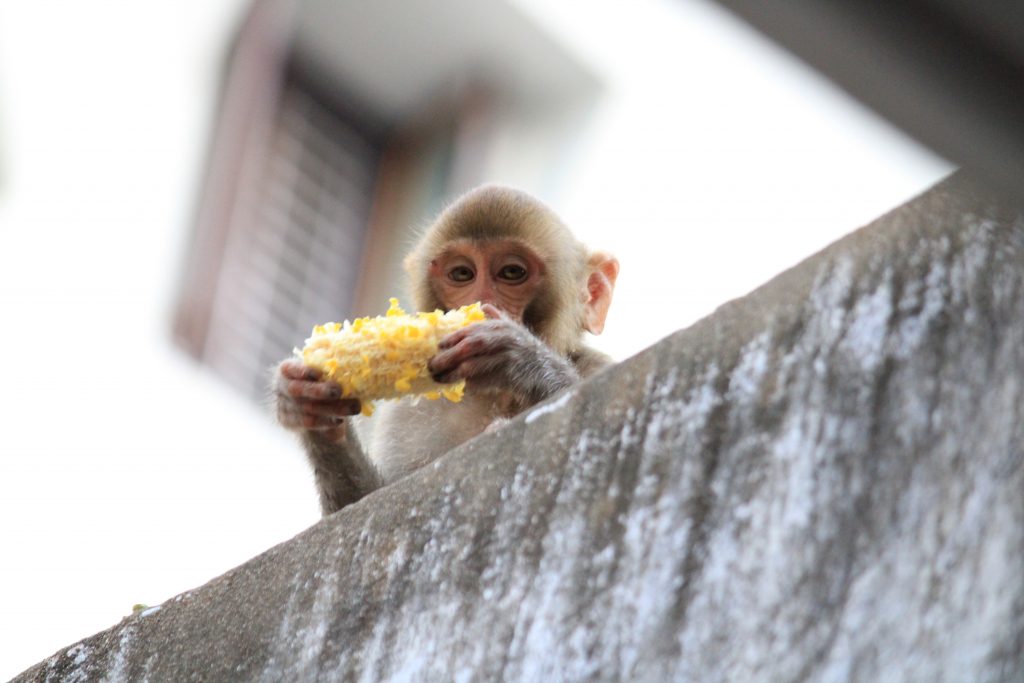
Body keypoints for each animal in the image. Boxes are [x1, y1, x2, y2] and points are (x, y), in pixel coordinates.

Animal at [275, 185, 619, 515]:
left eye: (511, 272)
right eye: (462, 274)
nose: (479, 303)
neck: (493, 395)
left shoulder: (597, 366)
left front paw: (517, 355)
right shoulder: (404, 417)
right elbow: (363, 499)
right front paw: (308, 407)